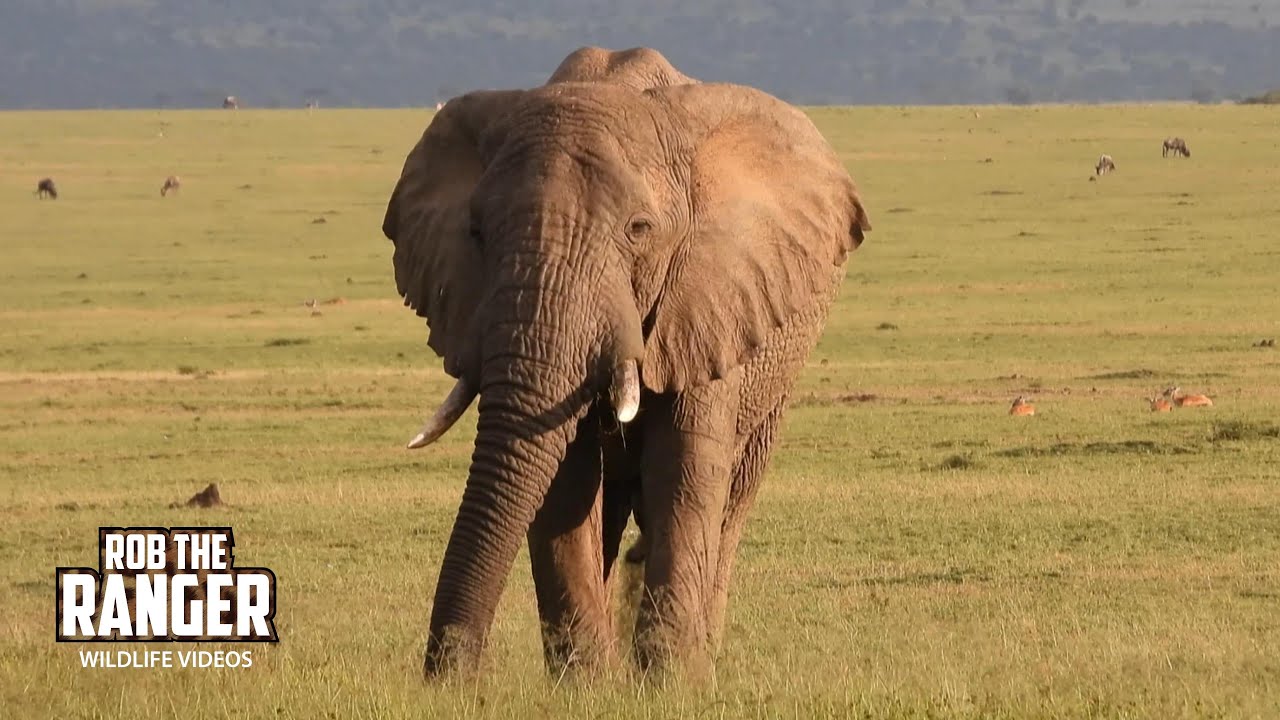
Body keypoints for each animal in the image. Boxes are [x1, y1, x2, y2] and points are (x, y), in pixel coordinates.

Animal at [381, 46, 872, 679]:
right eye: (476, 232)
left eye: (639, 230)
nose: (450, 679)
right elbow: (562, 484)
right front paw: (587, 685)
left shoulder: (709, 296)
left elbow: (683, 471)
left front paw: (669, 683)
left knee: (731, 502)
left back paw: (702, 651)